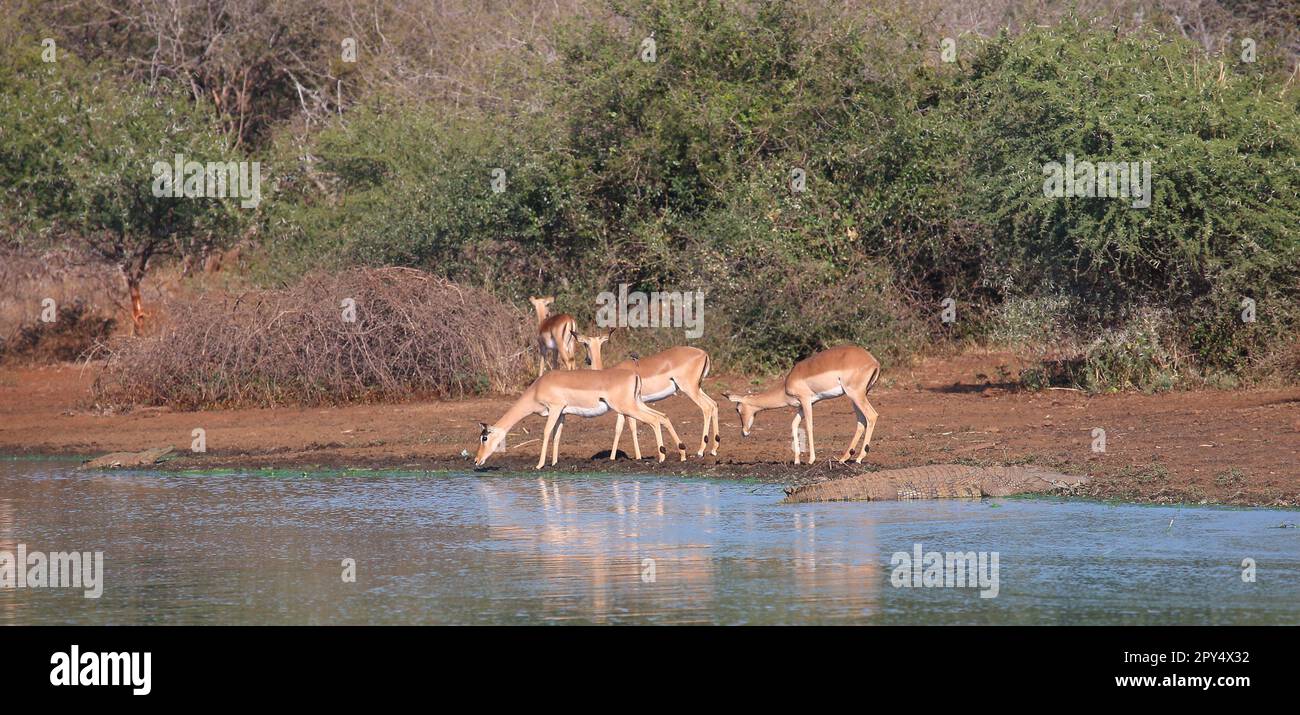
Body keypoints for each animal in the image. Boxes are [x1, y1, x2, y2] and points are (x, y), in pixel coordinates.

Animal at [475, 369, 688, 469]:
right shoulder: (562, 413)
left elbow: (546, 433)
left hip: (627, 408)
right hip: (637, 403)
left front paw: (539, 465)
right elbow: (557, 435)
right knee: (663, 416)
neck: (537, 388)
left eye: (484, 437)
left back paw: (662, 457)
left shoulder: (555, 409)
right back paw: (682, 454)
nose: (476, 460)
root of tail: (634, 374)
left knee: (654, 420)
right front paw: (554, 463)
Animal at [577, 333, 720, 459]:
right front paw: (613, 458)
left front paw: (637, 456)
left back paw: (700, 451)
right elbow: (619, 429)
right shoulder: (623, 409)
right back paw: (713, 449)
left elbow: (631, 427)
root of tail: (704, 353)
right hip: (698, 388)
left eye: (585, 344)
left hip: (690, 389)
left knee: (706, 408)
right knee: (714, 404)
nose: (587, 360)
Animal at [724, 345, 881, 465]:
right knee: (861, 421)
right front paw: (797, 460)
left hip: (855, 395)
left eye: (737, 409)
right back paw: (844, 458)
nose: (744, 432)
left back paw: (859, 458)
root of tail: (874, 362)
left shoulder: (806, 401)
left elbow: (809, 426)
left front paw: (811, 460)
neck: (786, 385)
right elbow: (794, 424)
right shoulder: (802, 405)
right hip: (856, 397)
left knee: (871, 416)